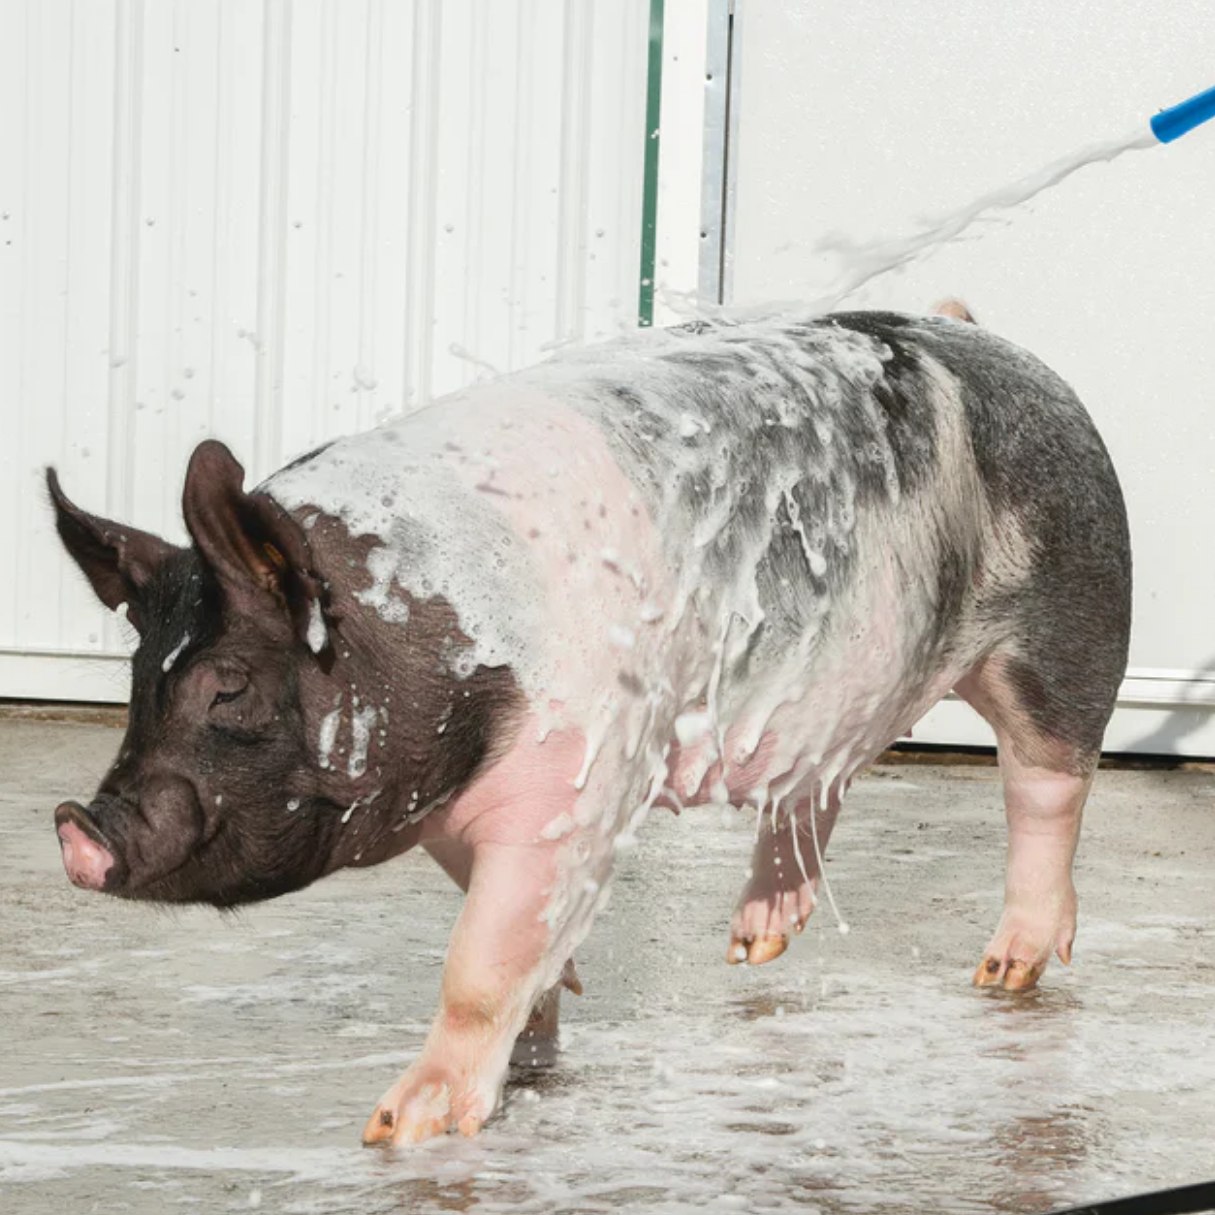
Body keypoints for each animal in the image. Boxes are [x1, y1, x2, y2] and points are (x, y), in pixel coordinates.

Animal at [48, 307, 1131, 1145]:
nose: (77, 828)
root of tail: (997, 341)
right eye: (141, 679)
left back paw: (1003, 973)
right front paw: (546, 1024)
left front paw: (398, 1127)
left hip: (1069, 626)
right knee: (816, 785)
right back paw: (751, 946)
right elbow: (507, 928)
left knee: (1047, 787)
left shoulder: (577, 776)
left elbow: (480, 957)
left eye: (229, 687)